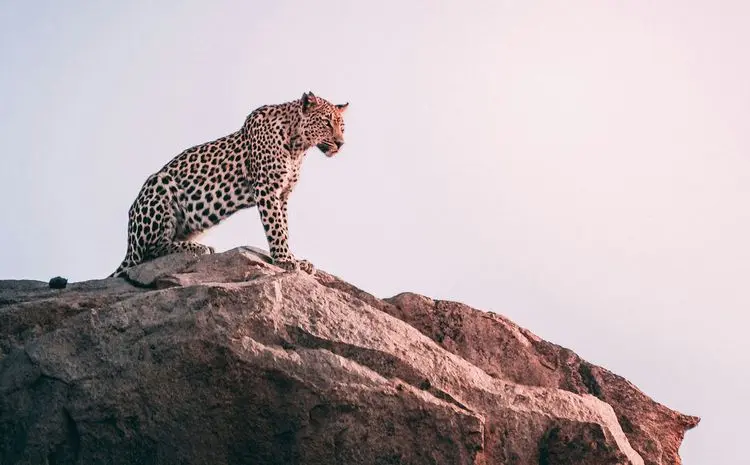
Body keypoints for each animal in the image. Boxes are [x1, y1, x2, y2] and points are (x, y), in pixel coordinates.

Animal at [109, 91, 348, 278]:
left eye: (342, 127)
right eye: (327, 122)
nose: (341, 143)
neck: (298, 146)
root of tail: (129, 245)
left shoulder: (283, 194)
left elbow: (285, 227)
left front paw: (294, 258)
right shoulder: (267, 188)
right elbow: (276, 227)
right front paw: (284, 260)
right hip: (159, 184)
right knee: (150, 251)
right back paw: (198, 248)